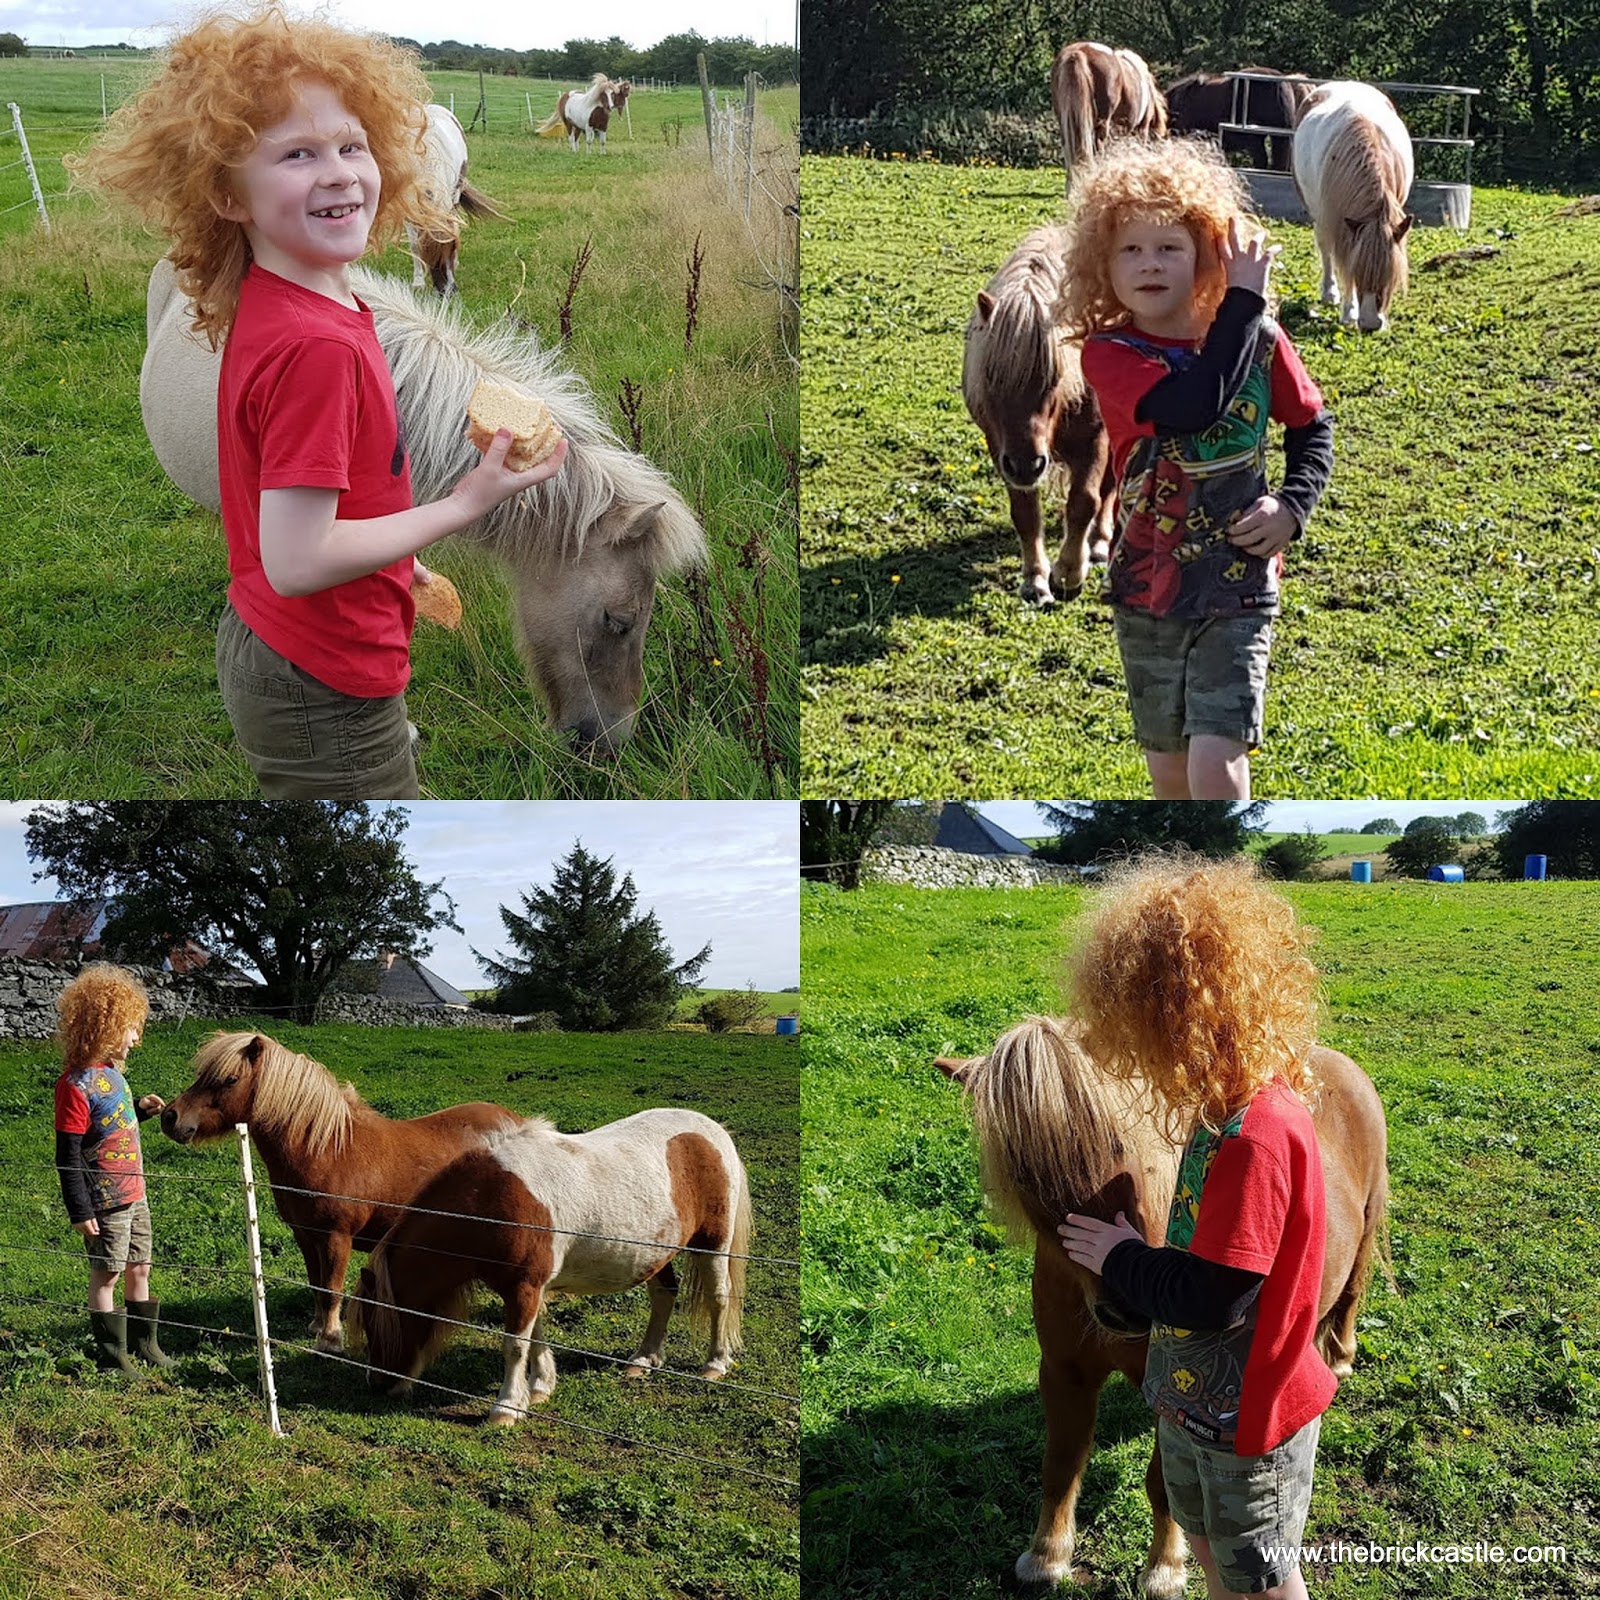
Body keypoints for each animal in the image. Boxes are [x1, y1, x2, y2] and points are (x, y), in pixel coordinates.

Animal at [159, 1030, 520, 1352]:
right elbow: (316, 1284)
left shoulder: (336, 1237)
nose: (169, 1117)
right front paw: (318, 1326)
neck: (327, 1152)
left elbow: (332, 1289)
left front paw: (331, 1339)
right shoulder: (306, 1236)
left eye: (230, 1079)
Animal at [348, 1108, 751, 1423]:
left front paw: (506, 1408)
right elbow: (535, 1337)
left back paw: (715, 1364)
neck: (492, 1199)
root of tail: (713, 1132)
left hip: (713, 1246)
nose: (377, 1385)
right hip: (655, 1254)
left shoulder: (525, 1287)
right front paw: (540, 1387)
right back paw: (643, 1359)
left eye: (376, 1322)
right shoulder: (530, 1286)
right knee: (664, 1295)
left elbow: (515, 1345)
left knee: (719, 1298)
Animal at [935, 1016, 1388, 1596]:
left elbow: (1160, 1484)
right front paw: (1046, 1556)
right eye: (1024, 1175)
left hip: (1368, 1225)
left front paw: (1165, 1567)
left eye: (1117, 1142)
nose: (1125, 1312)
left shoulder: (1168, 1398)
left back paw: (1341, 1357)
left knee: (1352, 1292)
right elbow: (1060, 1464)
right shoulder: (1064, 1372)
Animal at [962, 226, 1113, 605]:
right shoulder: (1001, 449)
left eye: (1054, 377)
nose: (1028, 464)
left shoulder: (1097, 437)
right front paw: (1035, 580)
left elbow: (1085, 501)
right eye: (991, 376)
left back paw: (1101, 543)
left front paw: (1069, 573)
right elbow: (1025, 514)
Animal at [1292, 81, 1415, 332]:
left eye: (1389, 275)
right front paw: (1349, 312)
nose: (1370, 323)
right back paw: (1329, 293)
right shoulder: (1339, 224)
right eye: (1358, 273)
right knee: (1325, 249)